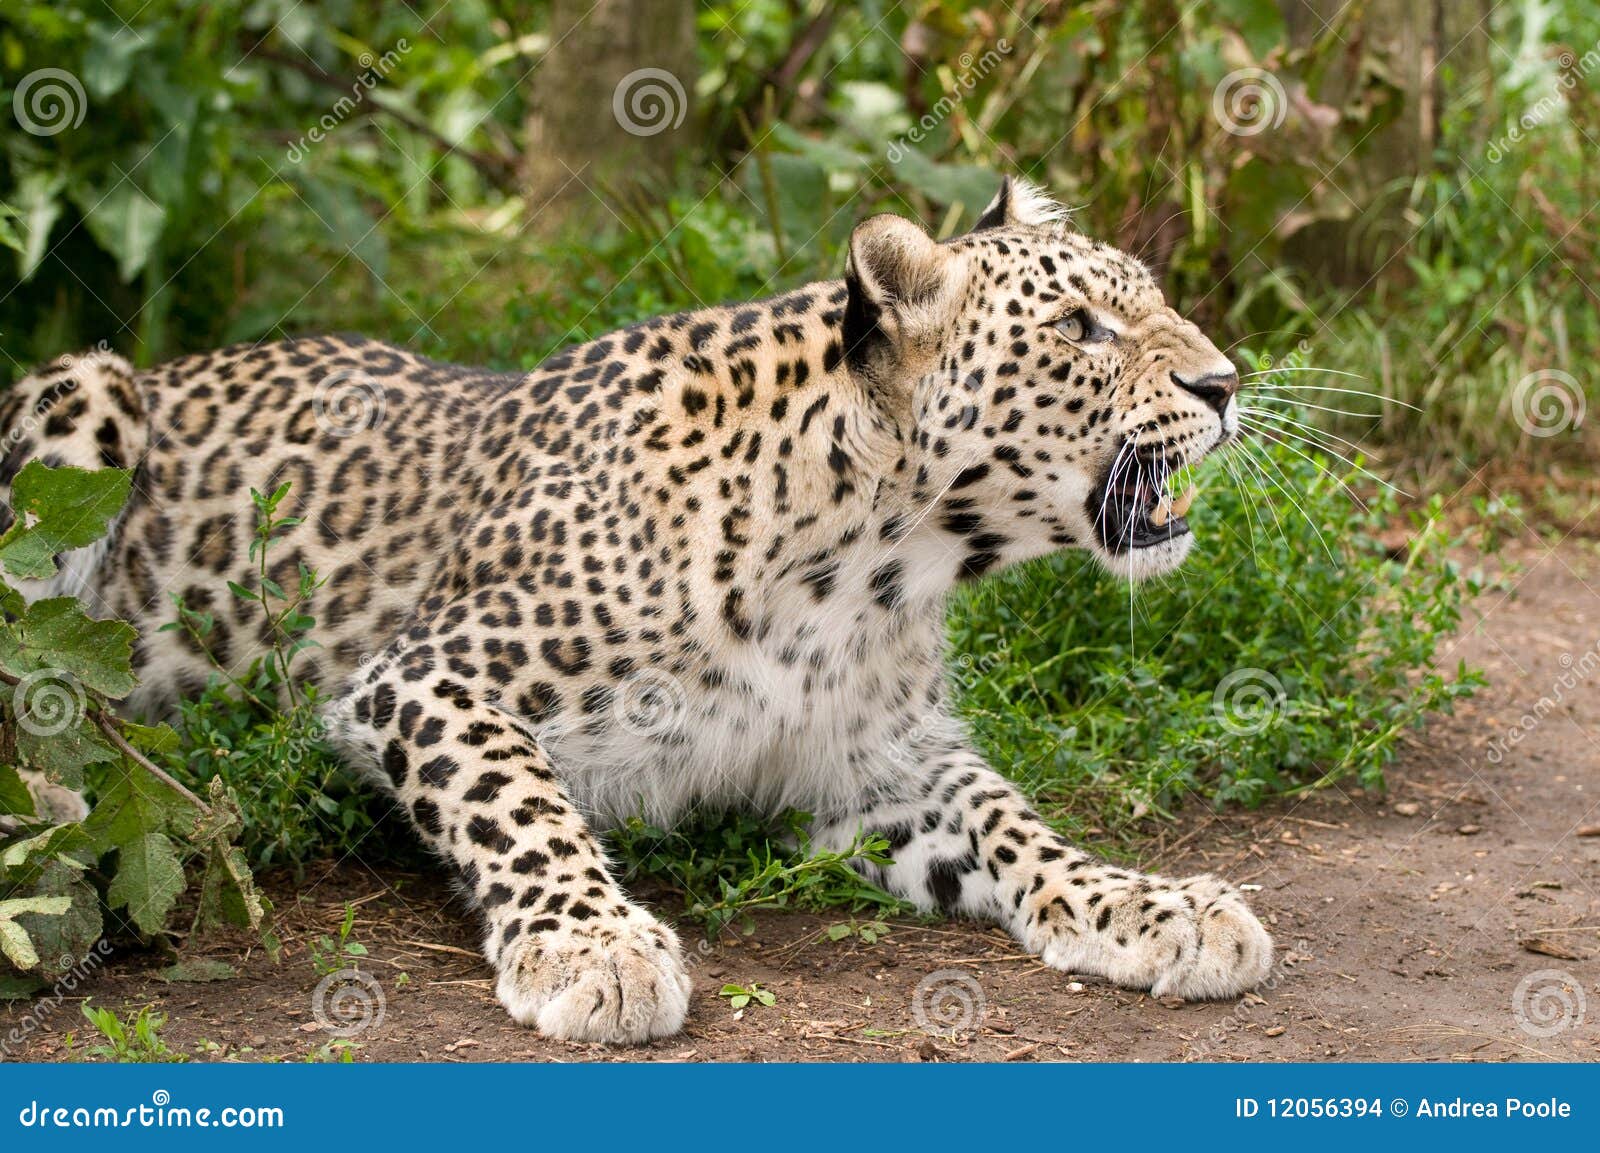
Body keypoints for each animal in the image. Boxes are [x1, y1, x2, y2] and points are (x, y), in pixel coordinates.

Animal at [2, 177, 1273, 1043]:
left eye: (1155, 303)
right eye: (1078, 330)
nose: (1225, 383)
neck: (873, 569)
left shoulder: (871, 766)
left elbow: (1014, 822)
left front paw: (1149, 903)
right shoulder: (424, 672)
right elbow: (517, 800)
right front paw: (592, 945)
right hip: (85, 393)